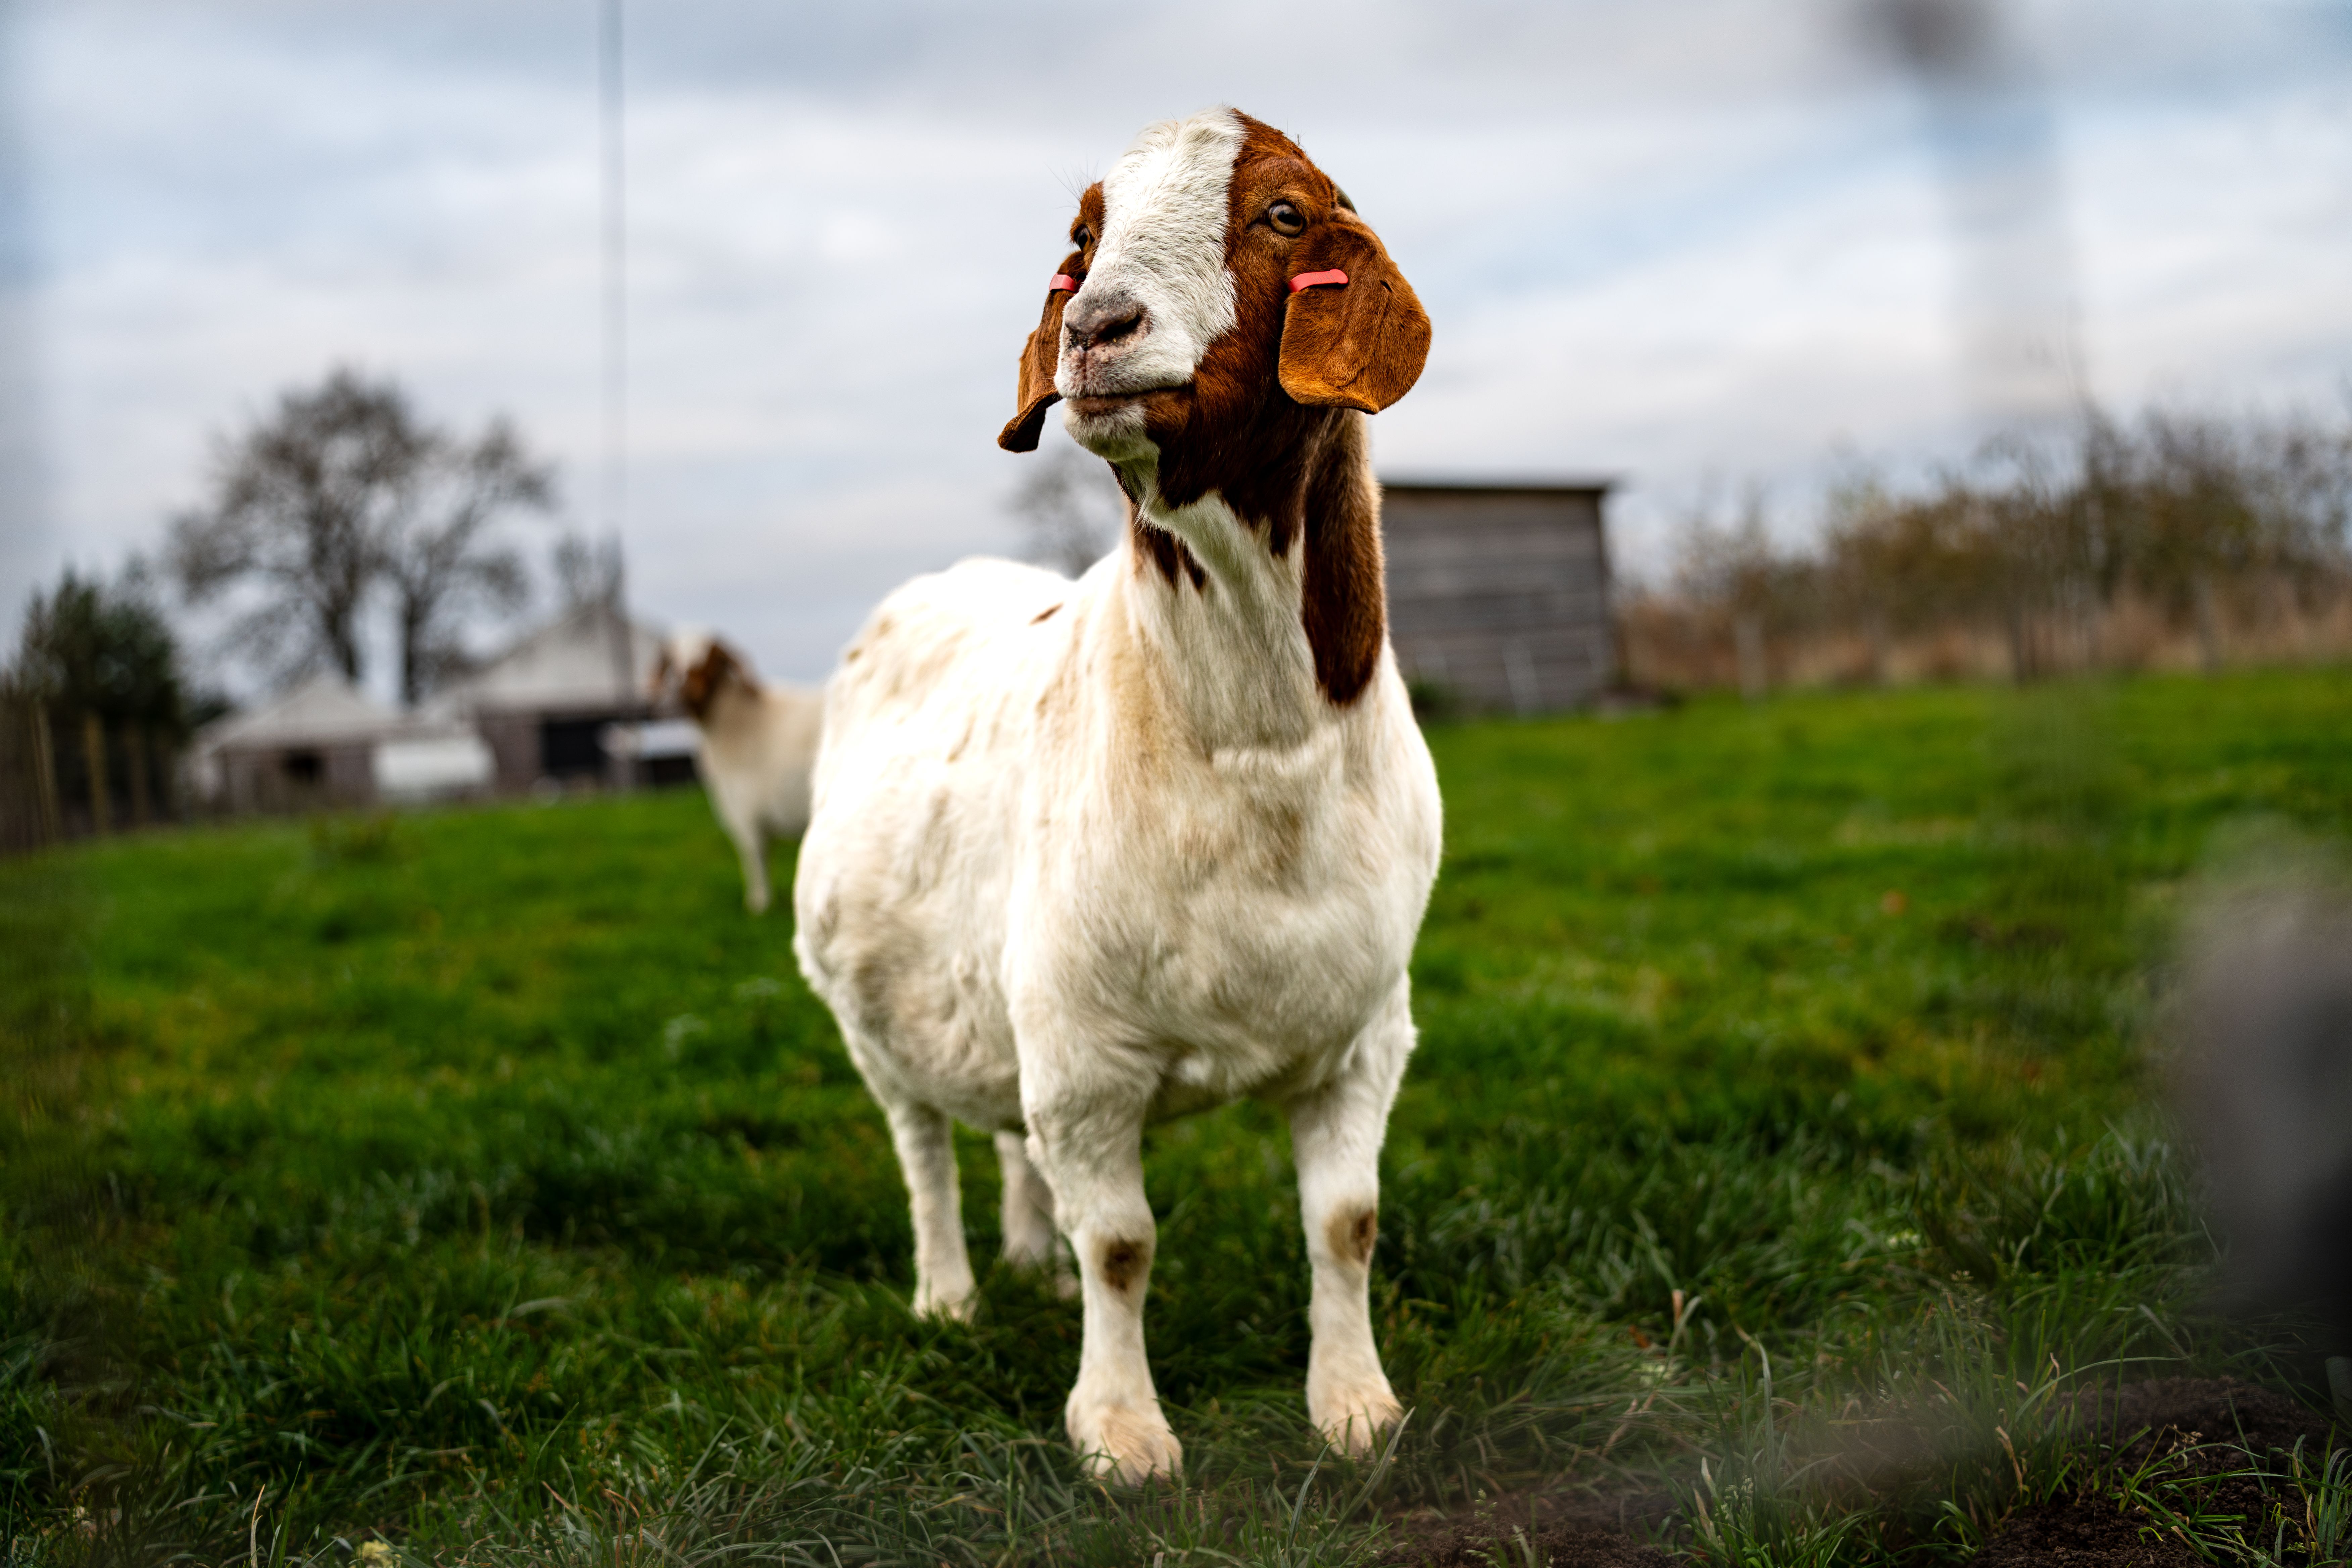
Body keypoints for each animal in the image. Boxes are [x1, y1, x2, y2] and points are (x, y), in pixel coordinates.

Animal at [652, 631, 823, 914]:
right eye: (672, 661)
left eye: (711, 659)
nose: (683, 691)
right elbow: (761, 857)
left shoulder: (746, 812)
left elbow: (755, 858)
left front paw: (759, 905)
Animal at [793, 108, 1438, 1483]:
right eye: (1080, 240)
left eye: (1286, 214)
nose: (1095, 327)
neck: (1250, 741)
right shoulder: (1087, 1053)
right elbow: (1124, 1244)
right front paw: (1122, 1432)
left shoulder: (1363, 1031)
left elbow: (1346, 1222)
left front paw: (1356, 1405)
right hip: (865, 1011)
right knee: (923, 1145)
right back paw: (950, 1292)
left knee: (1001, 1129)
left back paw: (1027, 1259)